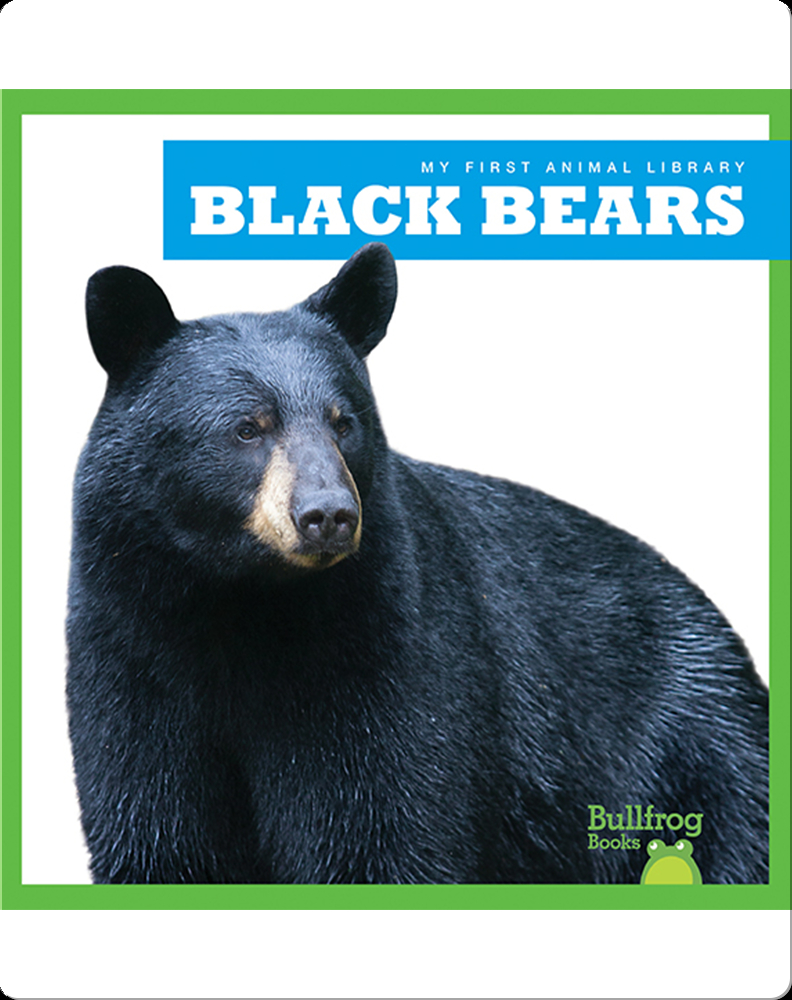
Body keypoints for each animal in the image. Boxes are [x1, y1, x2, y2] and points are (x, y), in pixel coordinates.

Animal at [67, 243, 769, 884]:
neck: (245, 601)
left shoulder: (384, 649)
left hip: (695, 755)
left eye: (344, 422)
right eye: (247, 428)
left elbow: (382, 824)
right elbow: (156, 833)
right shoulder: (131, 657)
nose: (328, 514)